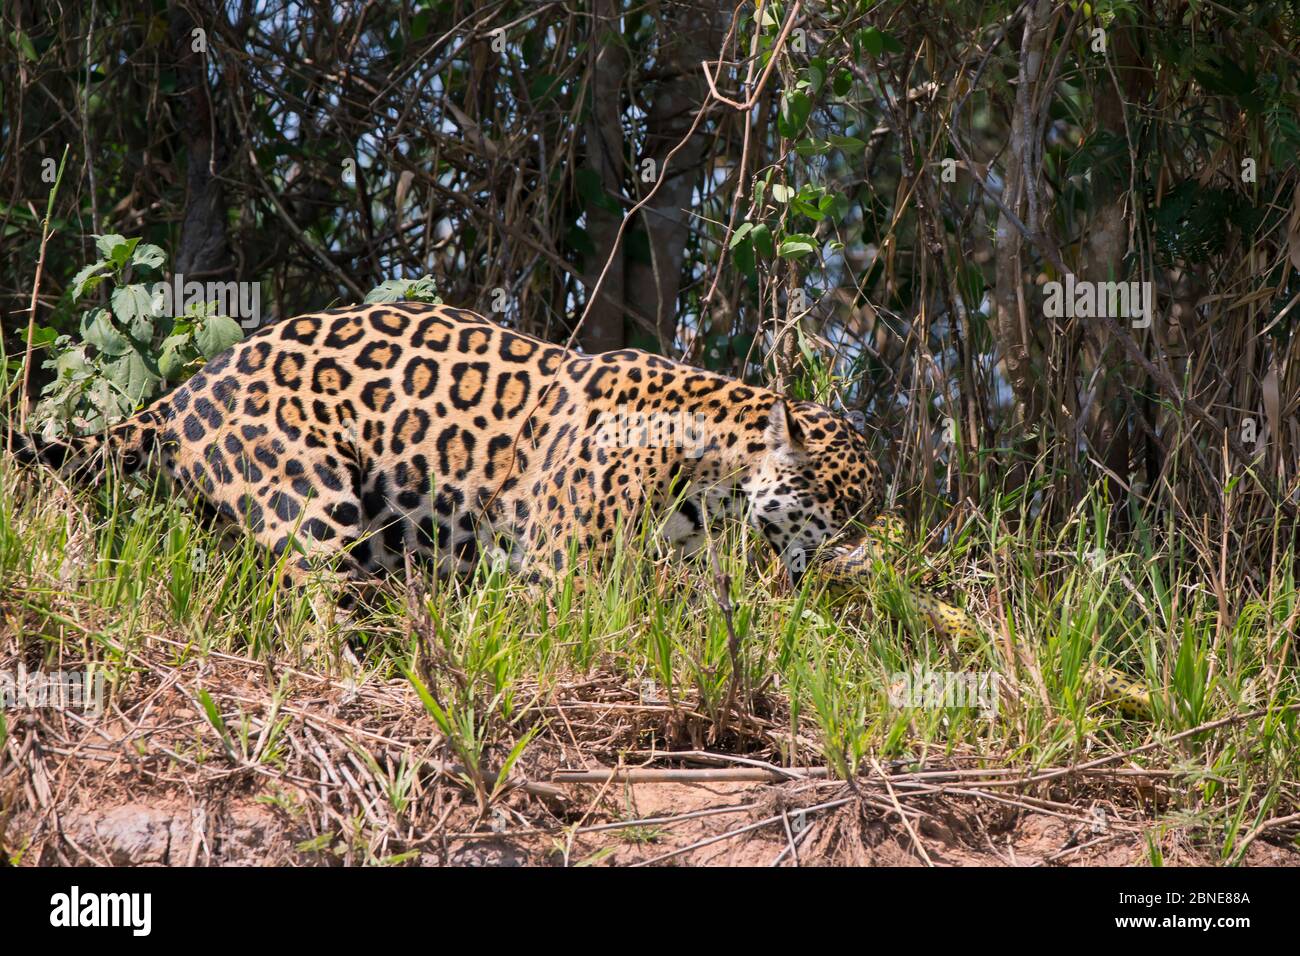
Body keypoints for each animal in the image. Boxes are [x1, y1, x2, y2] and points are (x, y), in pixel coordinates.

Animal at [19, 301, 888, 602]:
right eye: (841, 509)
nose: (856, 551)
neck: (712, 473)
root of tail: (187, 390)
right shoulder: (559, 566)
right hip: (311, 501)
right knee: (307, 608)